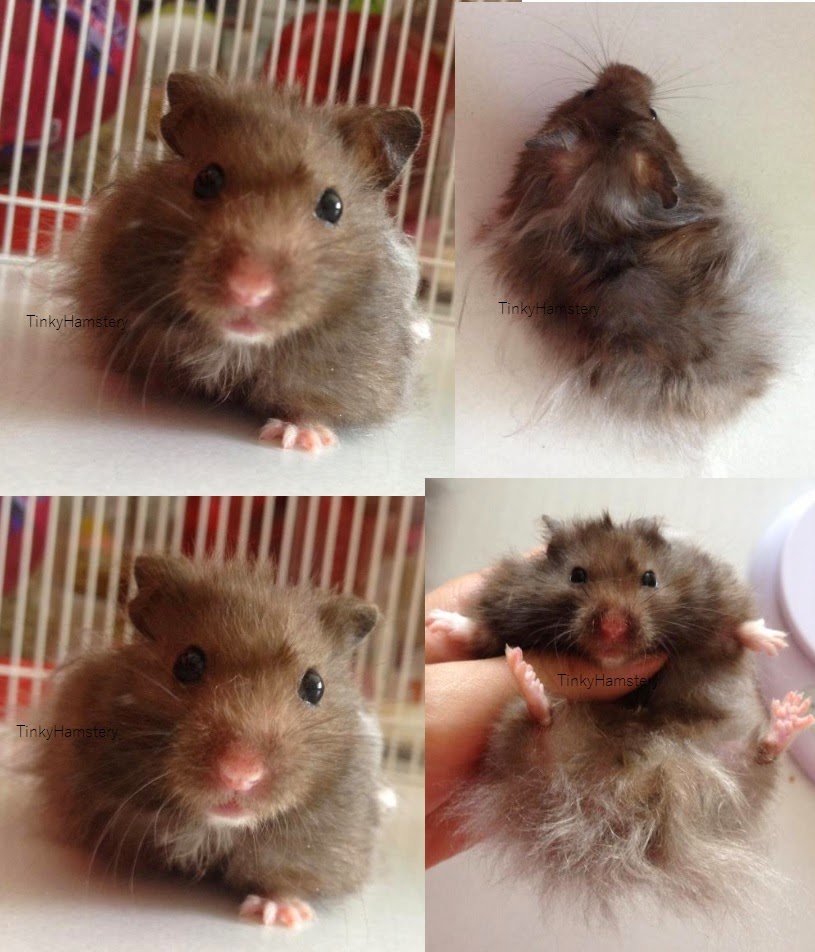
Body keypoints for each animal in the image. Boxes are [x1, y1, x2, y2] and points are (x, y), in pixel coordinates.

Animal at [66, 71, 426, 452]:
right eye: (206, 179)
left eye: (333, 206)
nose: (248, 290)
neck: (235, 347)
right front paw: (127, 387)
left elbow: (311, 406)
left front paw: (298, 438)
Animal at [427, 513, 813, 917]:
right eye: (577, 575)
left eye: (650, 578)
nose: (613, 628)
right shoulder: (501, 595)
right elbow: (480, 629)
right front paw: (440, 623)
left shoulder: (717, 591)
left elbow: (735, 627)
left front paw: (775, 640)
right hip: (523, 751)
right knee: (540, 724)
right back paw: (526, 678)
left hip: (734, 767)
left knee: (761, 752)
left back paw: (791, 715)